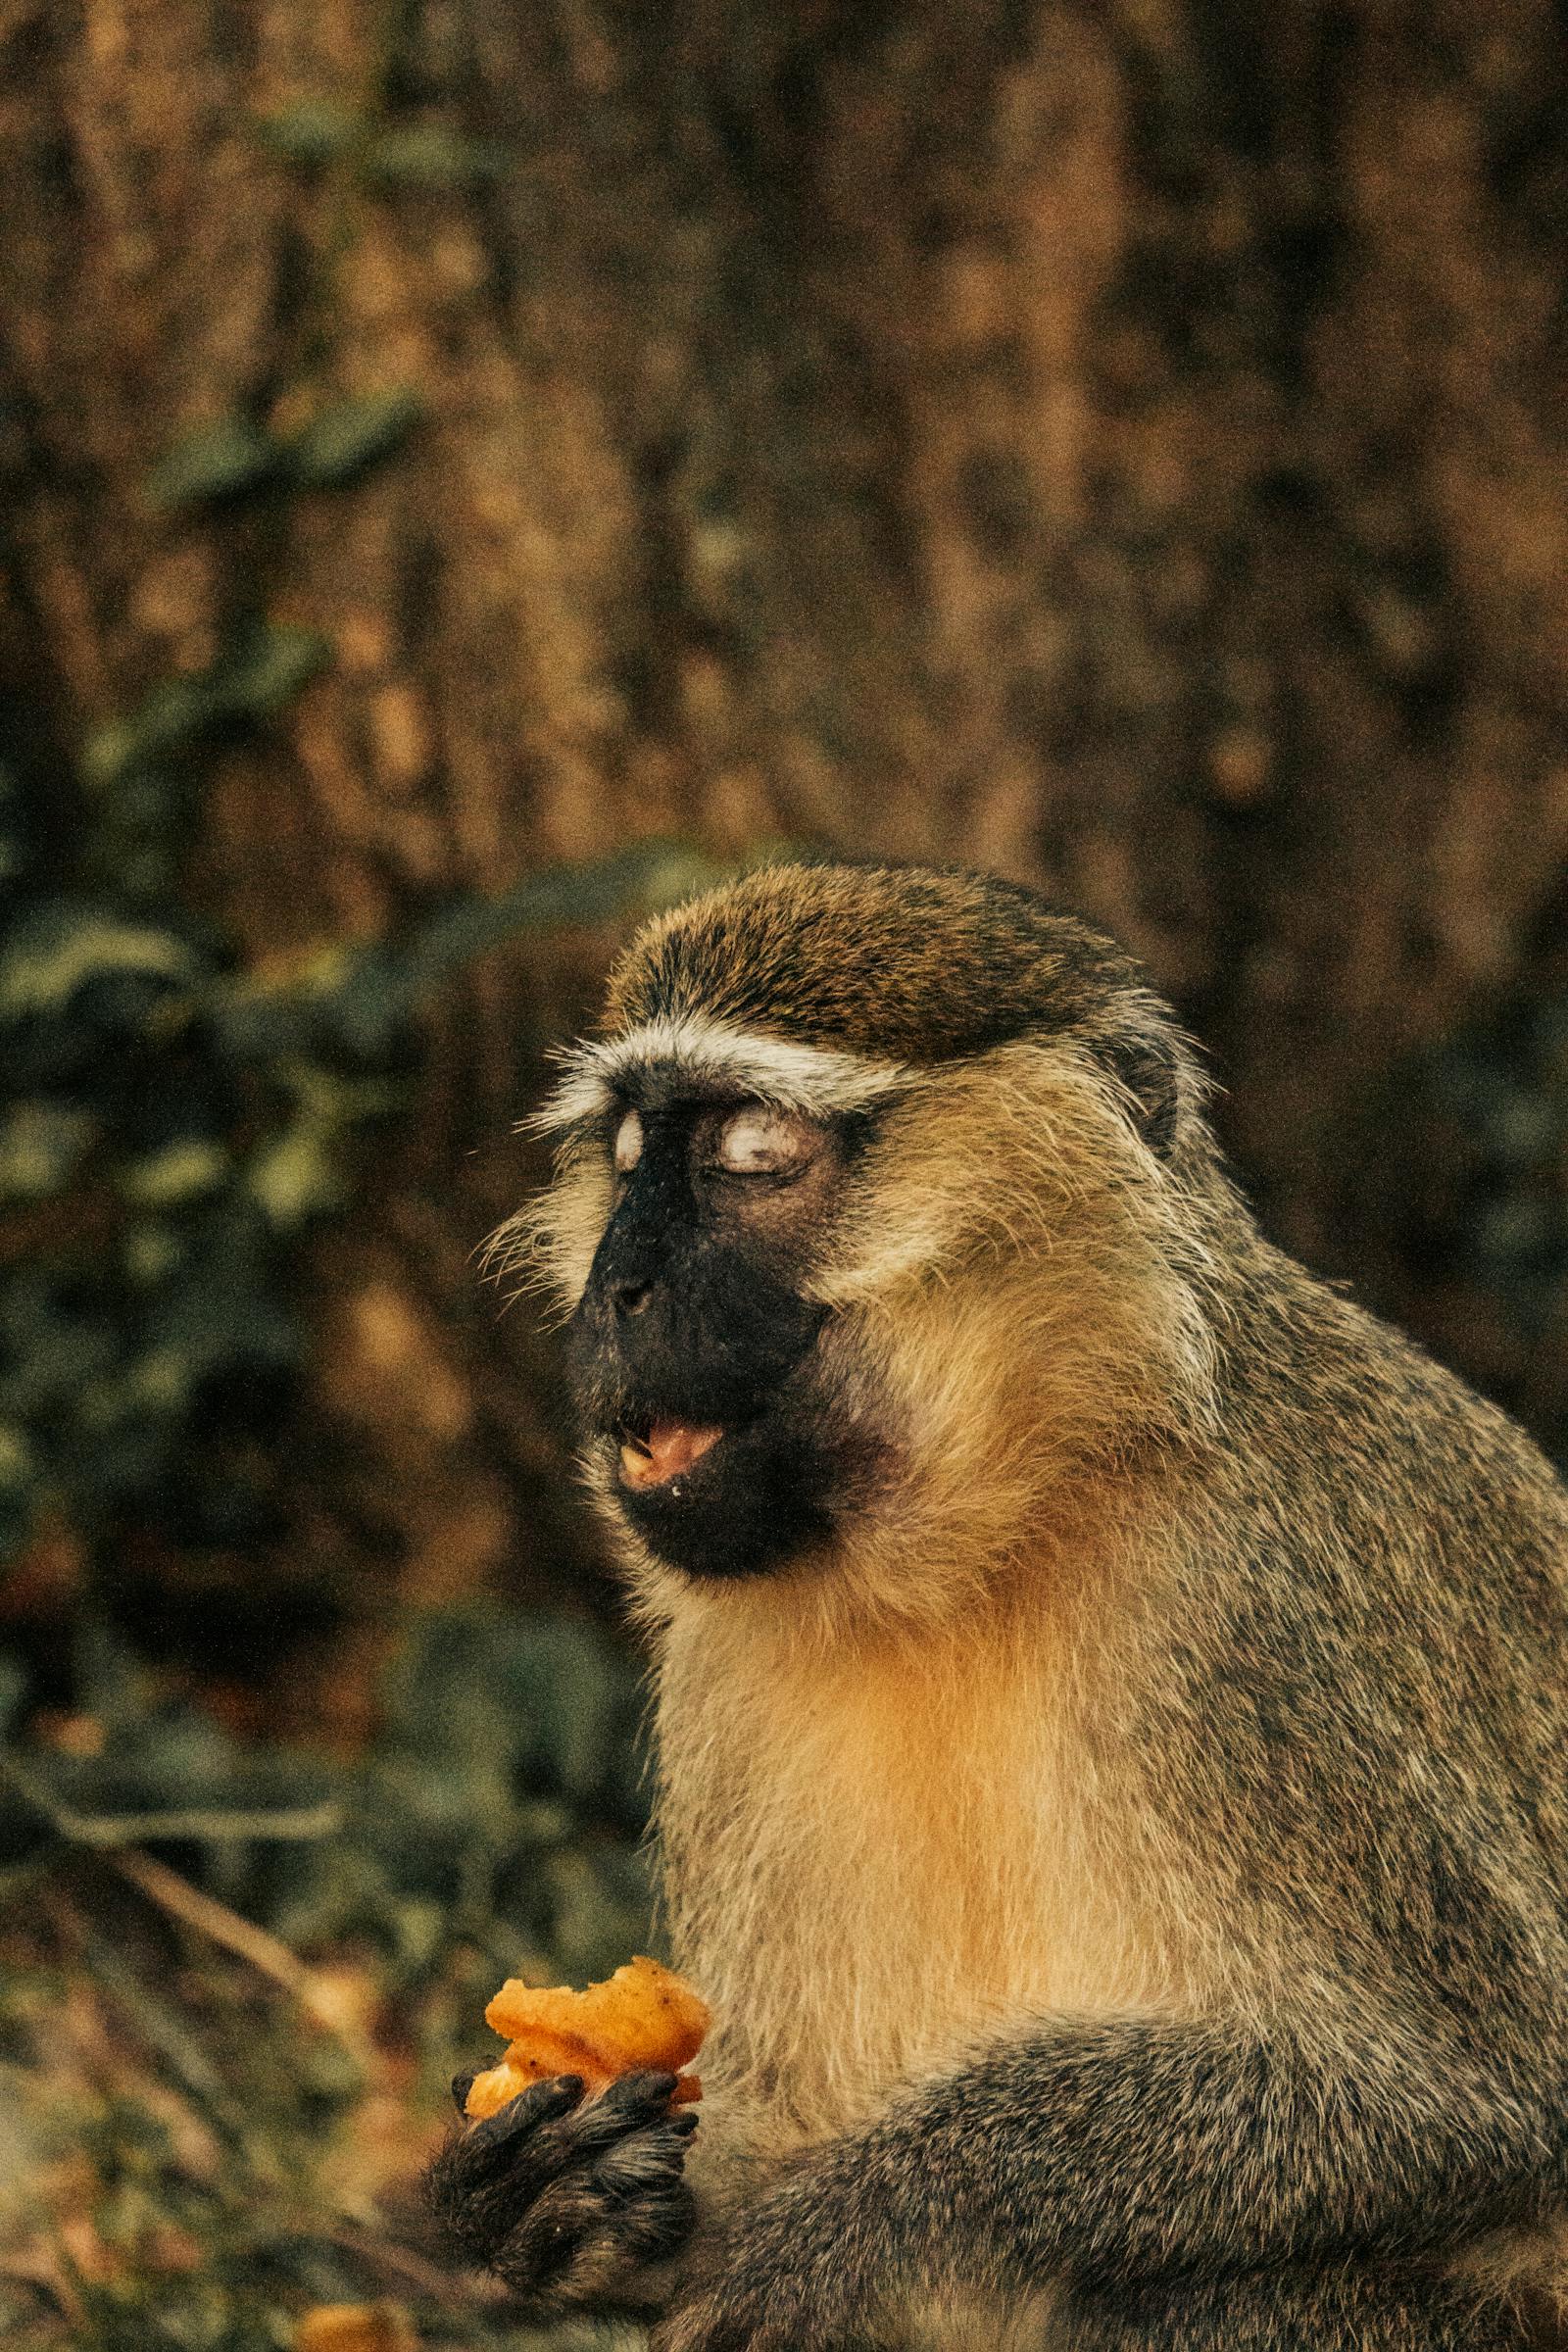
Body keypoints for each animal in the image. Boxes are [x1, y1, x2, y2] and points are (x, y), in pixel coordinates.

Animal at [428, 860, 1568, 2352]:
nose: (616, 1293)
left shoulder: (1250, 1616)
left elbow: (1466, 2092)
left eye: (748, 1150)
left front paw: (844, 2225)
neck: (1005, 1527)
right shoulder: (723, 1657)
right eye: (627, 1156)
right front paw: (571, 2206)